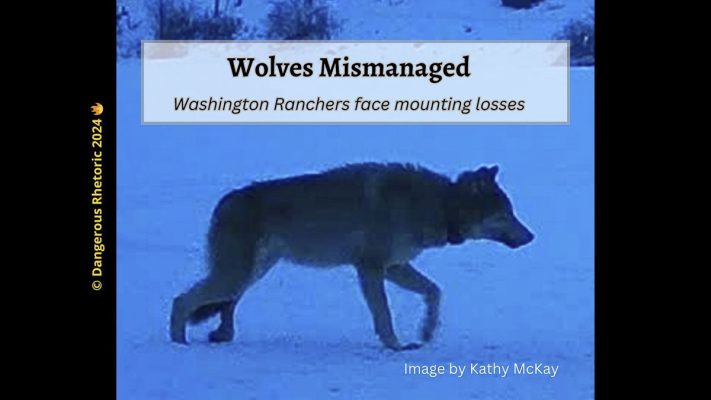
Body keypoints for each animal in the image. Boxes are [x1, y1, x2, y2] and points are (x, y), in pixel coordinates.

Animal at [170, 163, 534, 351]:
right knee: (181, 300)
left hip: (250, 275)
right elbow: (384, 314)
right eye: (506, 215)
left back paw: (221, 336)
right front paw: (396, 346)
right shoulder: (370, 267)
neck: (439, 205)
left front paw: (427, 332)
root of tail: (222, 202)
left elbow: (434, 291)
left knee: (224, 305)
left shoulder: (394, 267)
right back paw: (179, 344)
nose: (532, 236)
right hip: (236, 275)